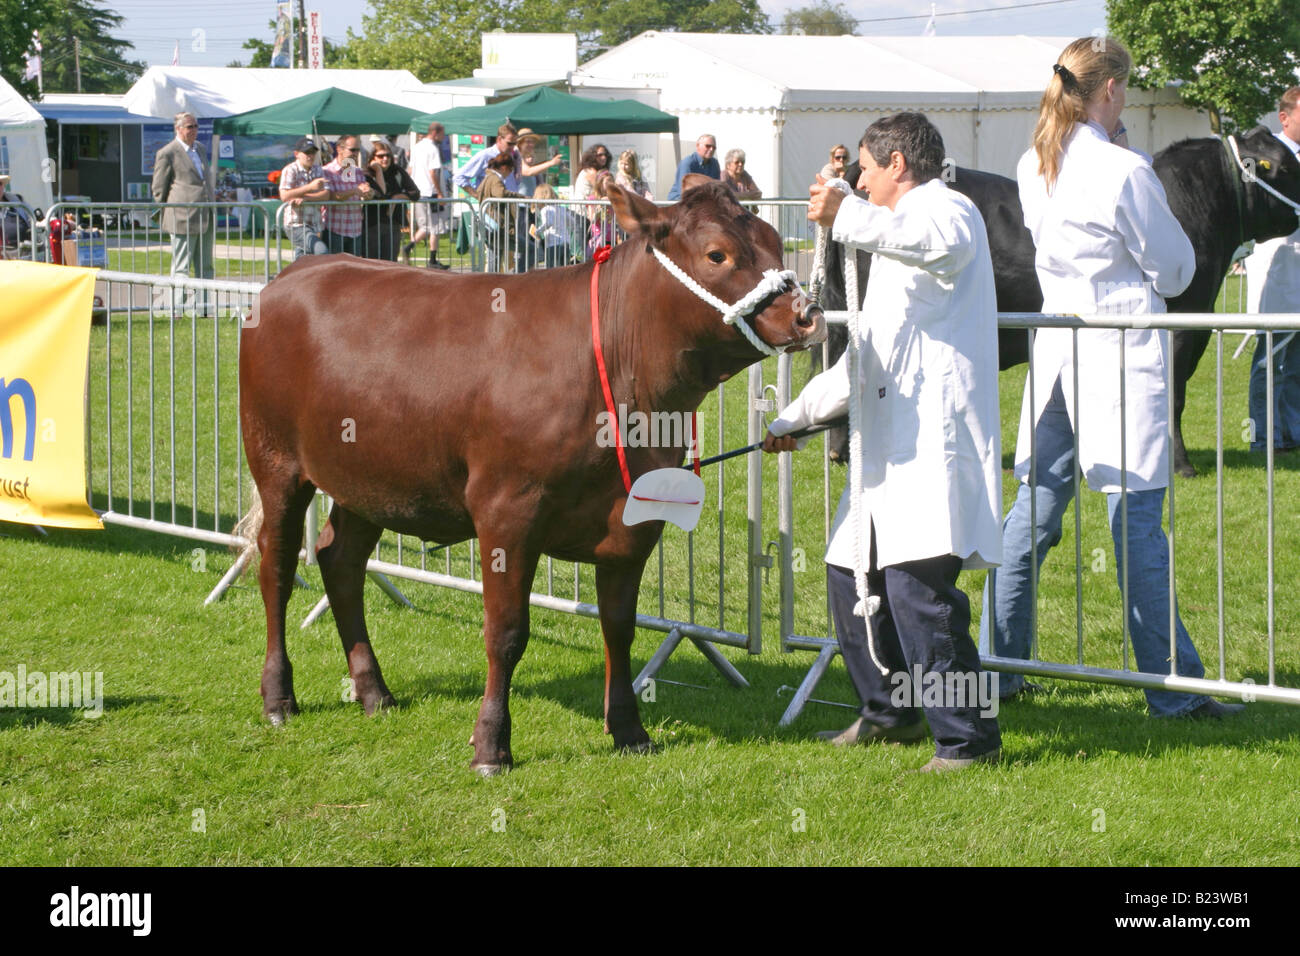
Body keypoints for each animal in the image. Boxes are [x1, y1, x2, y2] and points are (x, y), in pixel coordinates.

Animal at [237, 178, 825, 775]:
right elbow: (506, 632)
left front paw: (629, 729)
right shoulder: (507, 511)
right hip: (275, 460)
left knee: (340, 560)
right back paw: (278, 698)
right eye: (716, 254)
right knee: (277, 566)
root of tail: (293, 274)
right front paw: (491, 744)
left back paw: (373, 691)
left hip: (368, 478)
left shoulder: (636, 520)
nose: (810, 315)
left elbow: (619, 626)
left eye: (773, 239)